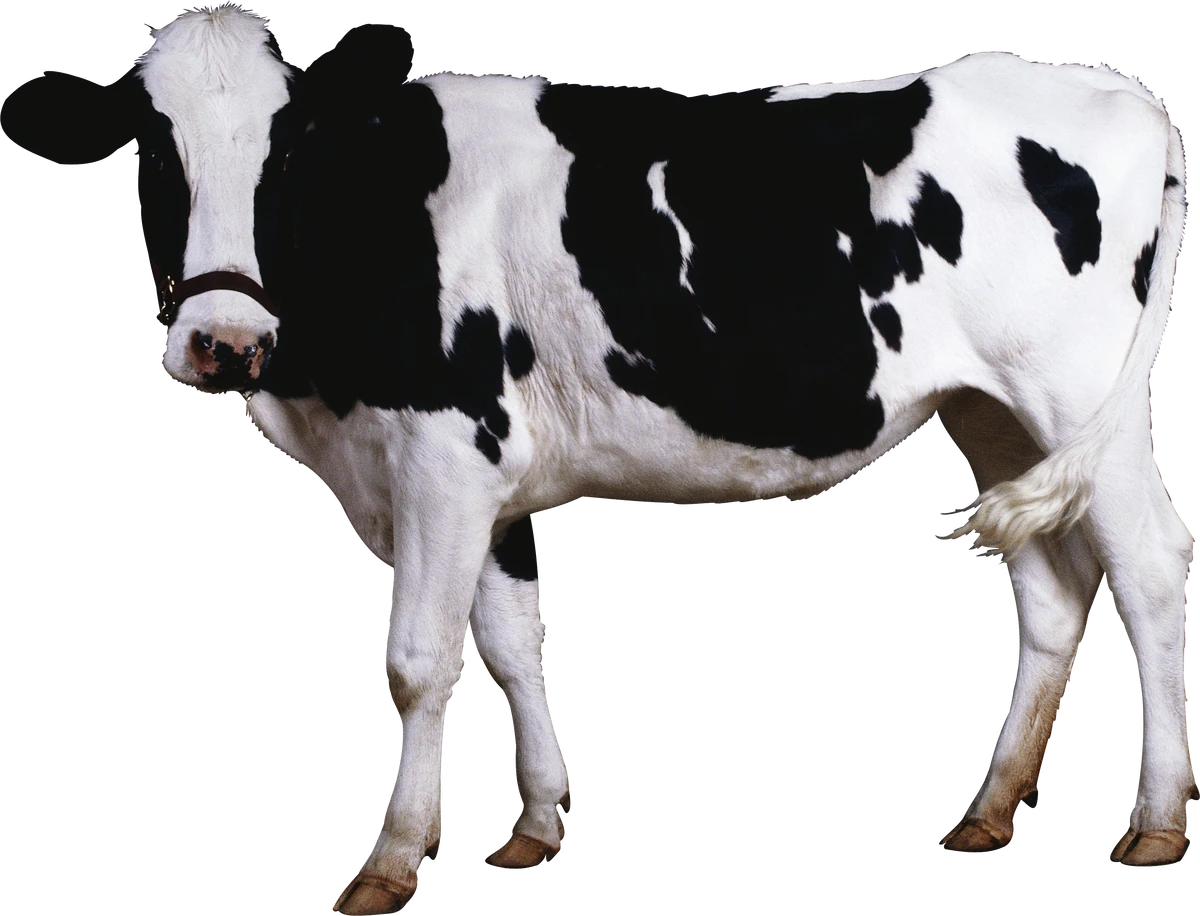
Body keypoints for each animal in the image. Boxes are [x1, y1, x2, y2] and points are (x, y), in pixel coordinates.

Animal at [2, 9, 1194, 912]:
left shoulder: (444, 457)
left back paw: (1156, 826)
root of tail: (1112, 89)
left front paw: (389, 863)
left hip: (1077, 392)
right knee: (1053, 584)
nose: (226, 342)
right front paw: (533, 827)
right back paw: (989, 812)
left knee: (1147, 567)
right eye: (150, 153)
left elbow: (419, 661)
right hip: (989, 410)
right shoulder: (475, 482)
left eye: (291, 150)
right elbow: (511, 645)